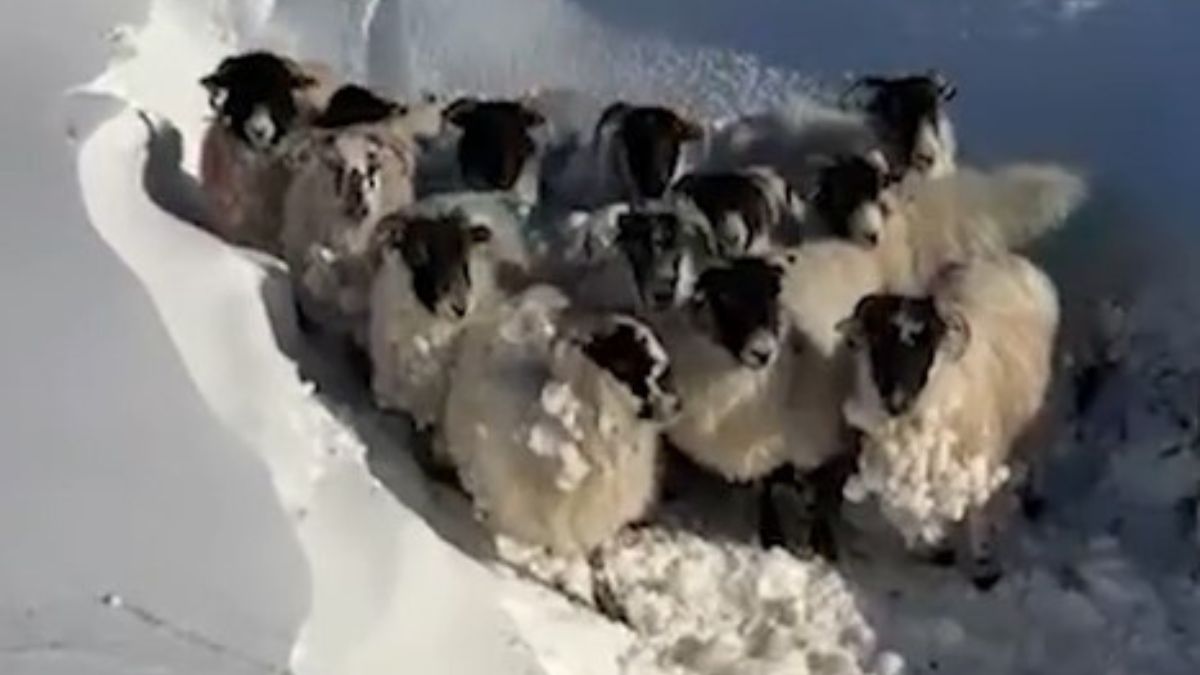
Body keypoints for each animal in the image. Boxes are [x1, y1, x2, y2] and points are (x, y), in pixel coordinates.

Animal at [838, 254, 1060, 587]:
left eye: (926, 344)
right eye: (876, 339)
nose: (896, 400)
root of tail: (1003, 259)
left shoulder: (977, 463)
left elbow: (978, 516)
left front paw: (984, 568)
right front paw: (936, 548)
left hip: (1036, 407)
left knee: (1039, 447)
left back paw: (1036, 496)